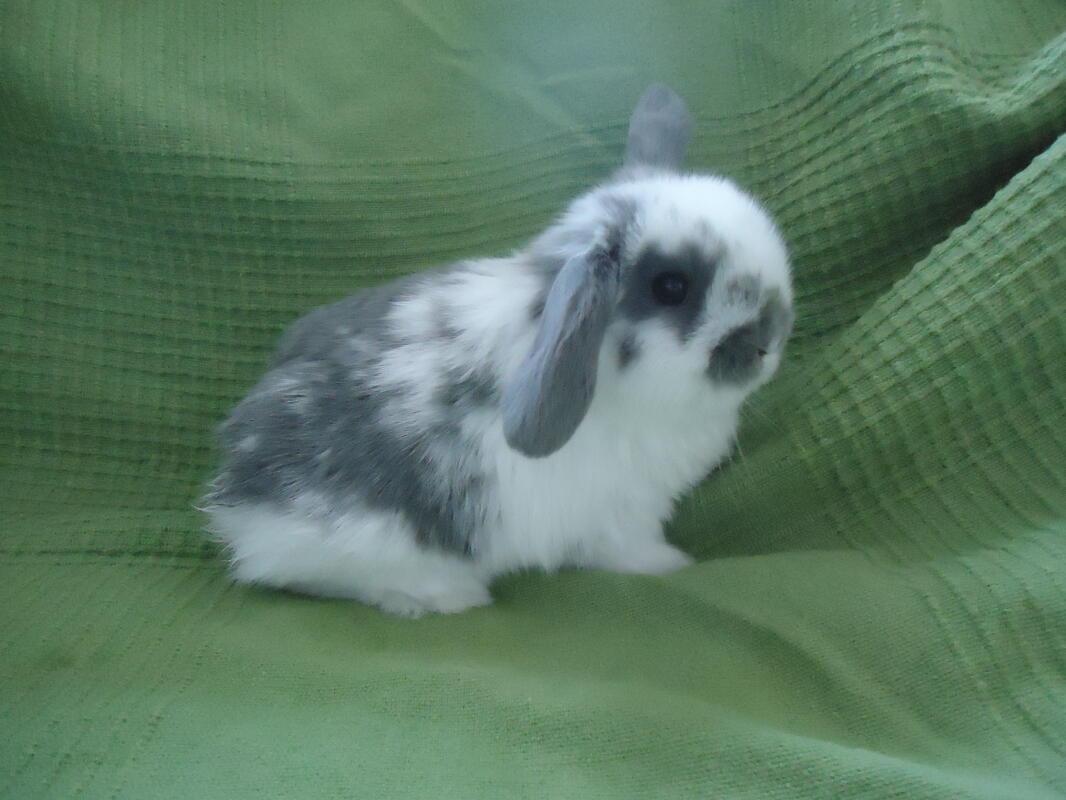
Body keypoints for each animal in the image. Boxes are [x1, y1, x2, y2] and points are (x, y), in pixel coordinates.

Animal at [203, 83, 794, 617]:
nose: (768, 340)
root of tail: (237, 499)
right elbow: (628, 548)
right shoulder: (622, 513)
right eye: (671, 287)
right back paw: (444, 596)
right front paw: (671, 565)